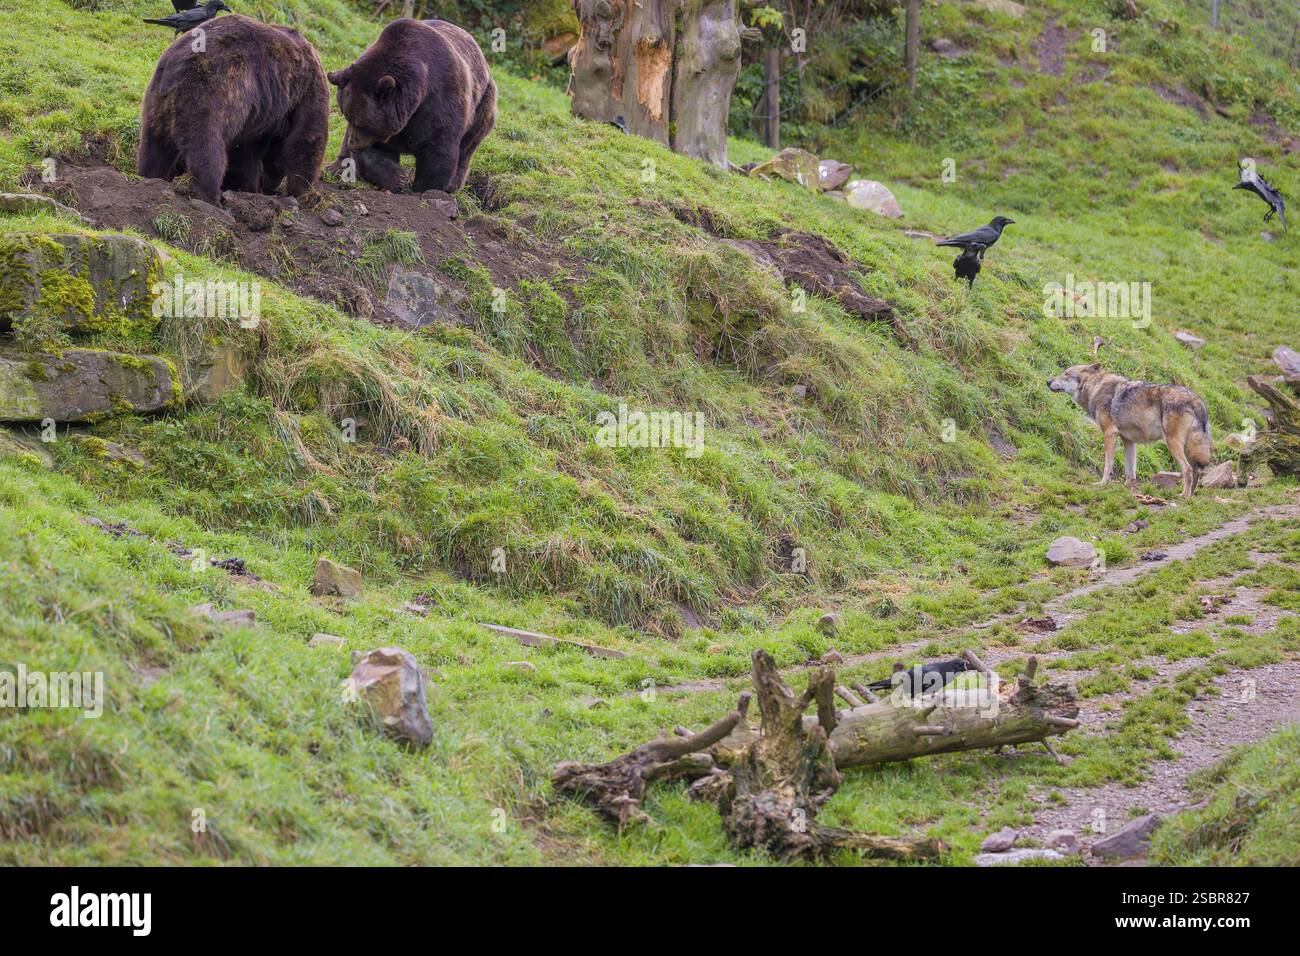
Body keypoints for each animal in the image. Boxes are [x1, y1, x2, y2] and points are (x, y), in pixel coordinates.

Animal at [1048, 364, 1213, 499]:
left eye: (1066, 373)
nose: (1047, 381)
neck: (1096, 388)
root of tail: (1197, 400)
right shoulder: (1129, 441)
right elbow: (1130, 469)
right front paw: (1128, 487)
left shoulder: (1110, 433)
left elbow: (1108, 464)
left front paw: (1102, 484)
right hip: (1188, 448)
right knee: (1197, 470)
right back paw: (1190, 496)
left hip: (1172, 443)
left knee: (1187, 469)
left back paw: (1183, 495)